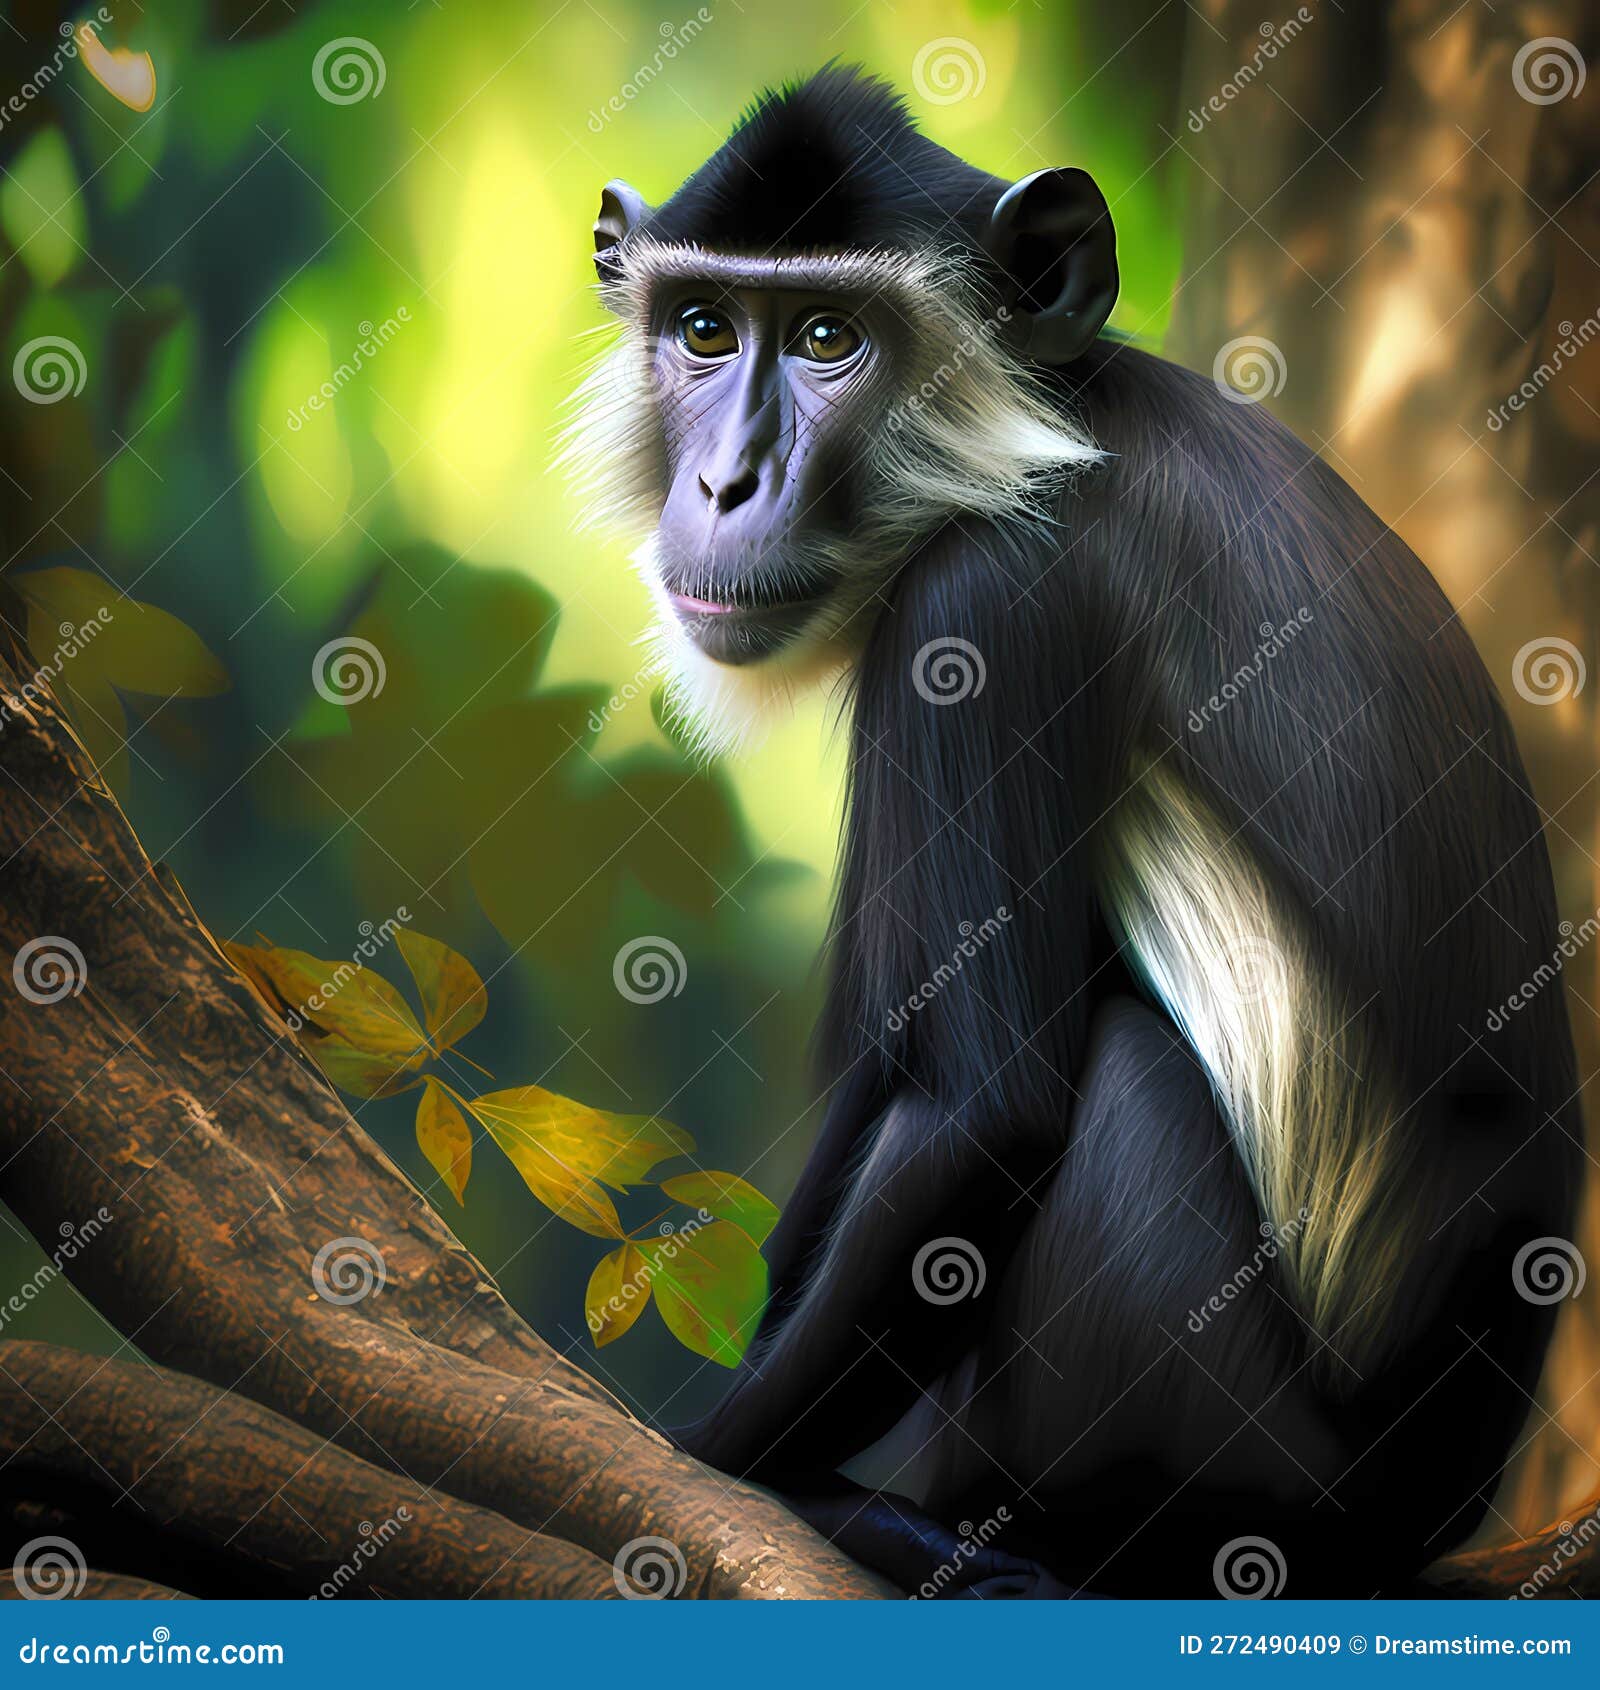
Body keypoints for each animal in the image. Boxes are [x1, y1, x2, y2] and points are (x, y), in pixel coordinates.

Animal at [563, 66, 1583, 1598]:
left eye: (829, 338)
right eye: (702, 330)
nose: (730, 484)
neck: (1052, 430)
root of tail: (1425, 1513)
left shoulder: (981, 605)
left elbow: (980, 1115)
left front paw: (707, 1450)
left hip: (1244, 1447)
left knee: (1115, 1088)